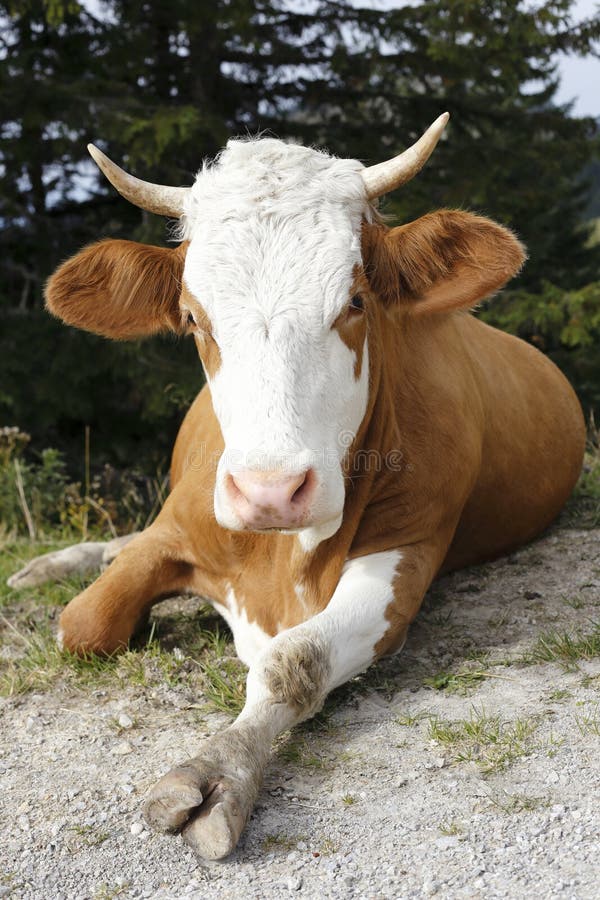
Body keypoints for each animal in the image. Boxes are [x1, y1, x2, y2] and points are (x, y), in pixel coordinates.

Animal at [11, 114, 585, 860]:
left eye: (355, 301)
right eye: (193, 317)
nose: (269, 492)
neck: (277, 561)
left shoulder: (406, 556)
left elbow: (292, 662)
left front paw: (219, 772)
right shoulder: (176, 527)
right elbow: (85, 624)